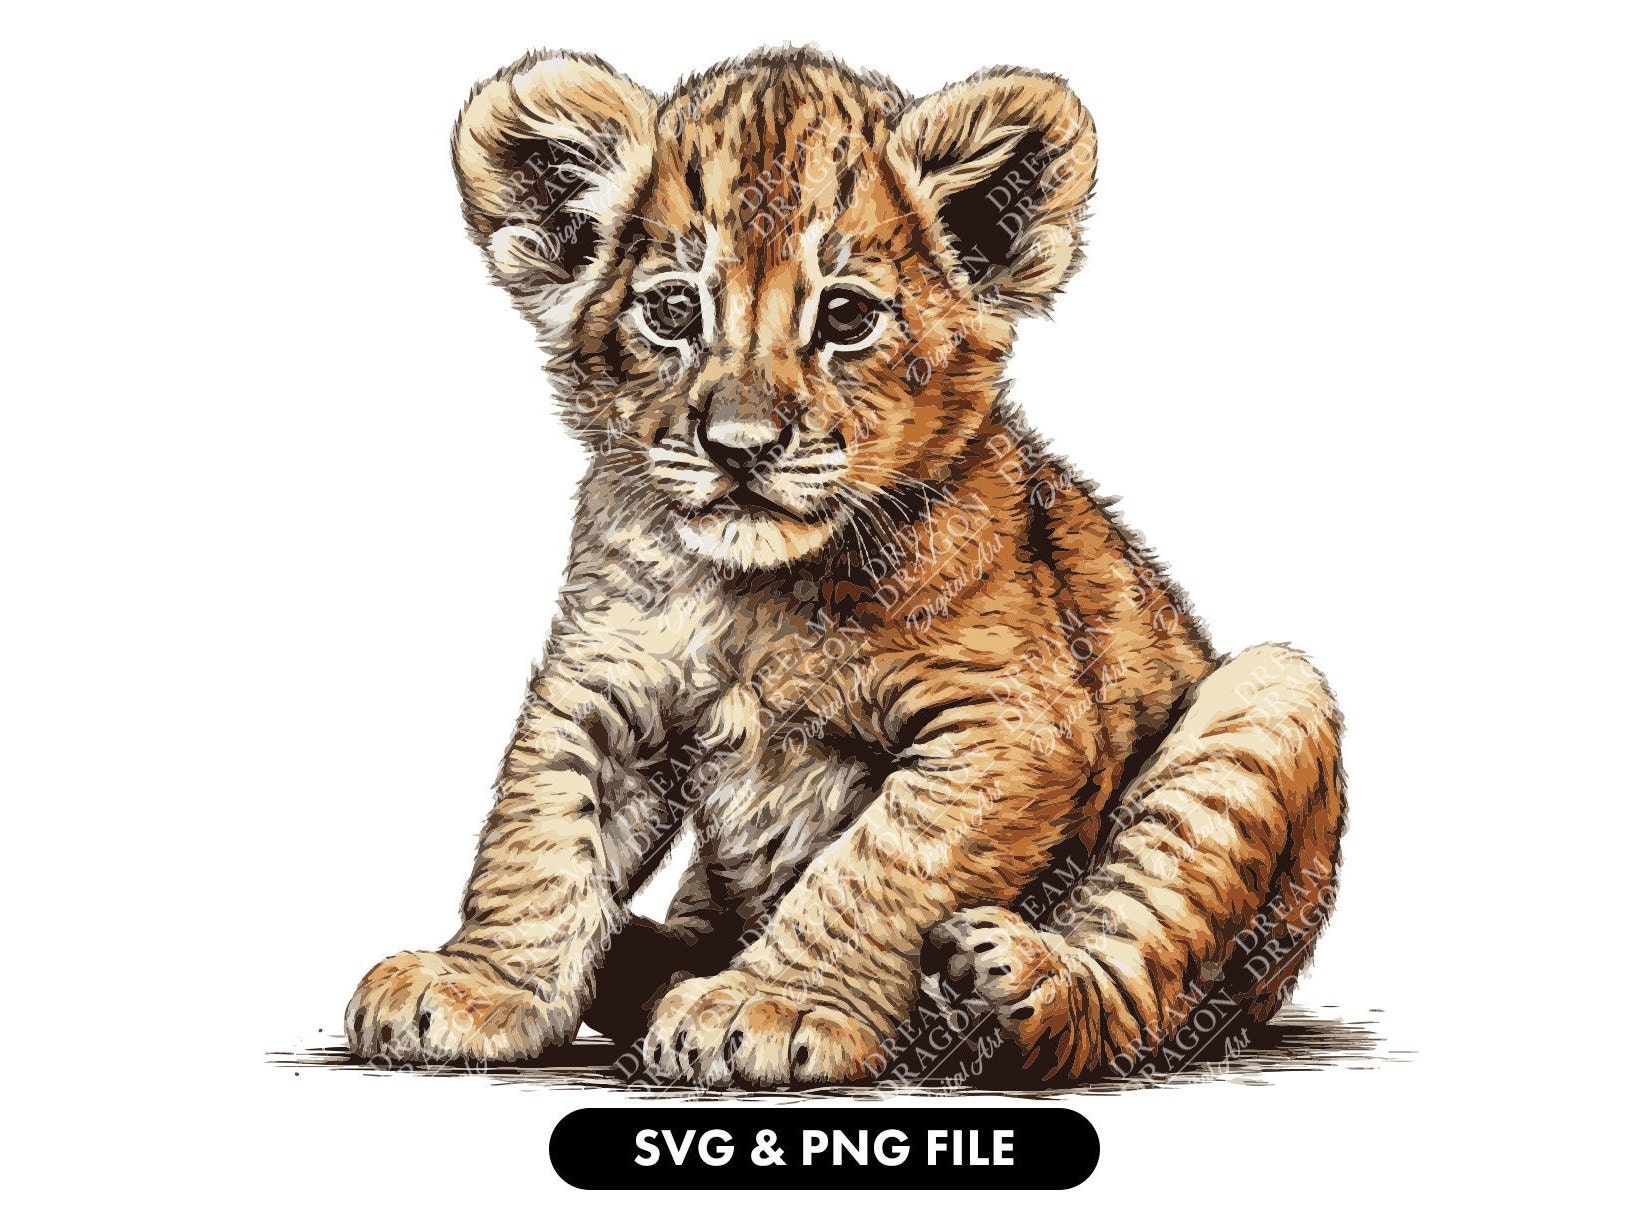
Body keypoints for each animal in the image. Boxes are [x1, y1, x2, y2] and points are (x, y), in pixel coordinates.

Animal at [344, 47, 1345, 1086]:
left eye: (848, 316)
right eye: (672, 310)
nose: (738, 447)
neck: (748, 593)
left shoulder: (1013, 726)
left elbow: (876, 865)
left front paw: (771, 1004)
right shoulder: (598, 685)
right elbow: (537, 834)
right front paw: (476, 983)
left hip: (1271, 701)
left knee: (1134, 983)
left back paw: (997, 985)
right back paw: (647, 962)